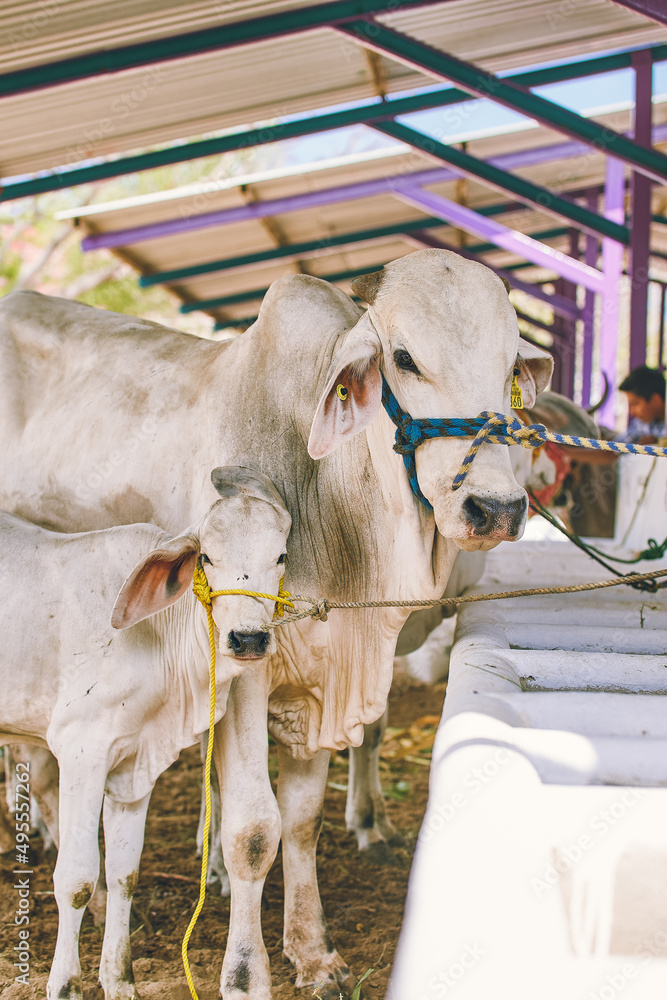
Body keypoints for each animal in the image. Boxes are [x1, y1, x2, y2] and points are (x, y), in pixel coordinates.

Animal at [0, 467, 291, 1000]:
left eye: (279, 556)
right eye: (208, 557)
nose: (248, 638)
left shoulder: (134, 767)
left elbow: (124, 874)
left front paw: (119, 980)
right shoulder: (81, 752)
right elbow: (76, 878)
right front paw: (65, 985)